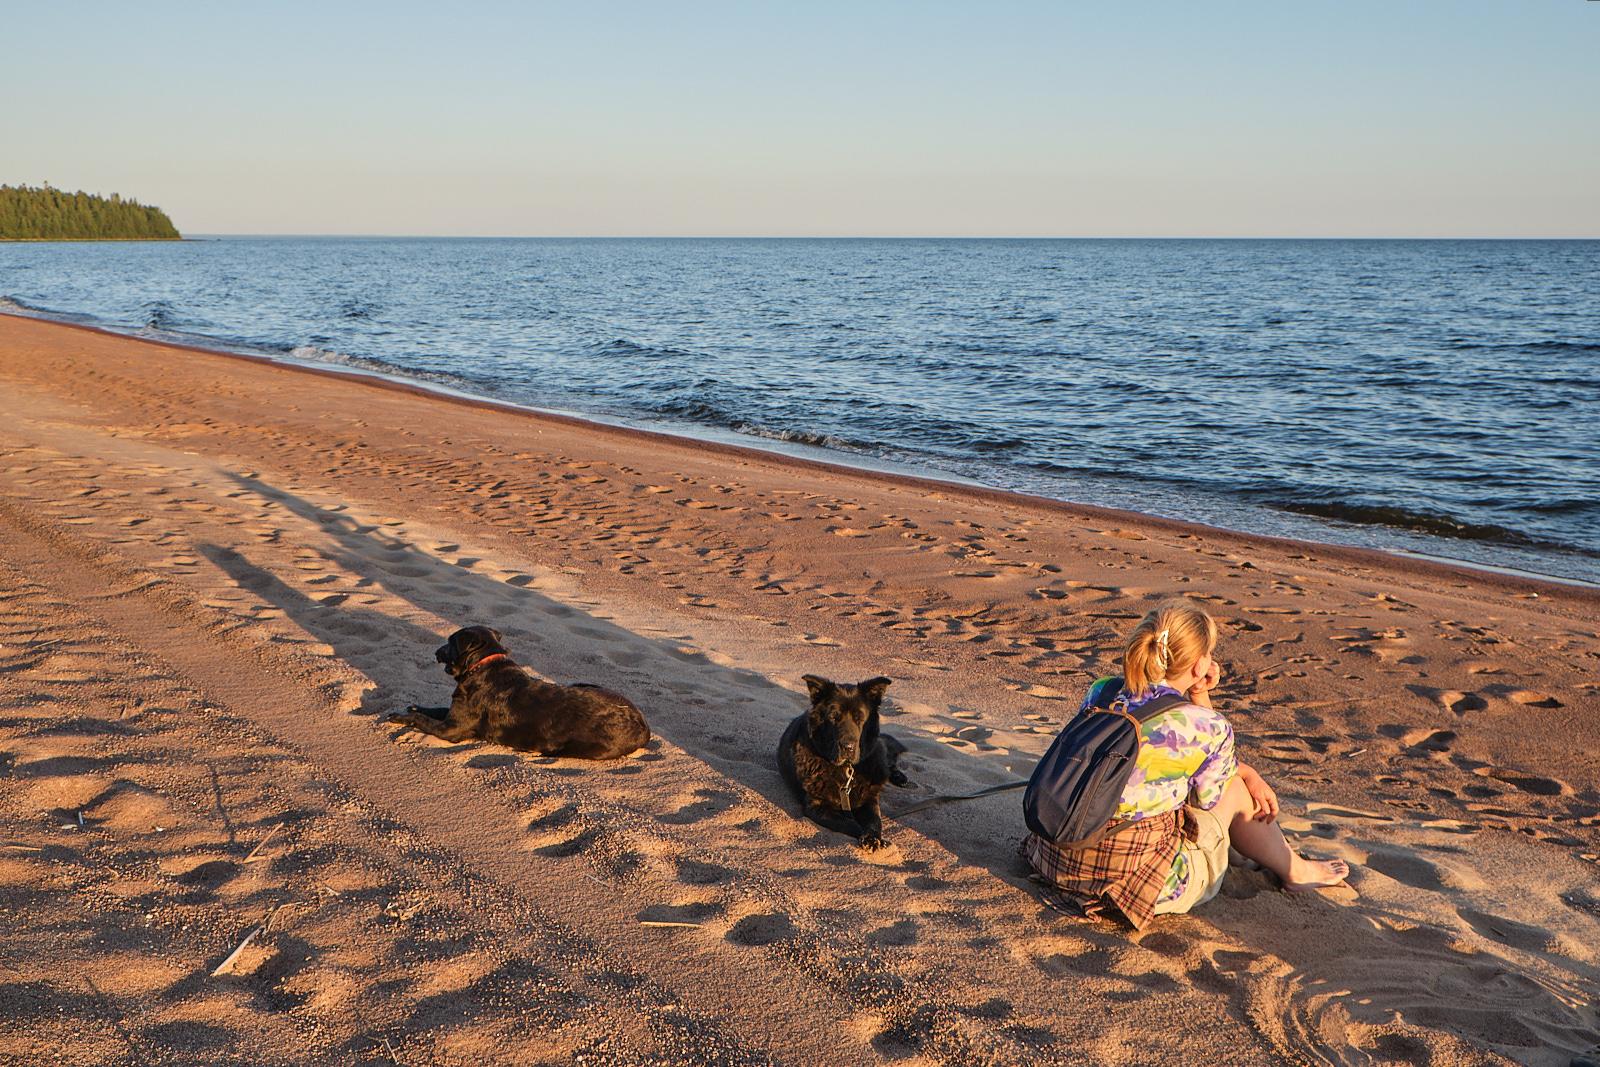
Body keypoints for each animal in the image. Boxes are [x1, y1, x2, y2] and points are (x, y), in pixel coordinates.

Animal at [387, 627, 649, 758]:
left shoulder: (451, 729)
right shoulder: (452, 714)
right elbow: (434, 709)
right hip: (585, 684)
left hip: (590, 749)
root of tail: (644, 727)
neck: (482, 665)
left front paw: (401, 716)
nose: (436, 652)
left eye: (450, 642)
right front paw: (415, 706)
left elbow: (422, 719)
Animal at [777, 675, 908, 851]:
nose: (848, 747)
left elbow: (875, 821)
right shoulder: (817, 807)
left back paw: (899, 777)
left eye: (859, 718)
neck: (846, 769)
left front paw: (874, 837)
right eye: (833, 717)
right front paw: (866, 835)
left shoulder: (869, 799)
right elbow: (849, 823)